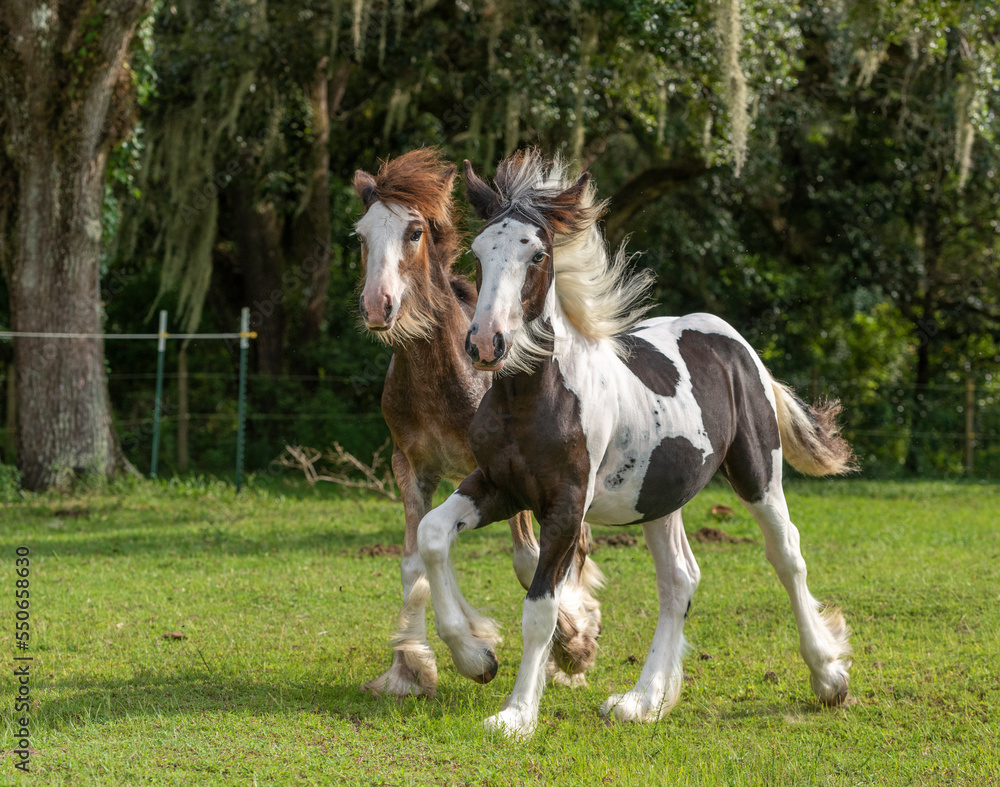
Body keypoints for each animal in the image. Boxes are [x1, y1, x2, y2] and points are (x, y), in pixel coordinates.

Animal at [352, 149, 602, 697]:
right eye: (360, 235)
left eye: (414, 232)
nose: (378, 305)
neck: (437, 378)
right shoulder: (411, 467)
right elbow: (413, 563)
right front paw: (414, 666)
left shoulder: (507, 474)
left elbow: (528, 559)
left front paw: (571, 644)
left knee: (575, 546)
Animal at [416, 149, 856, 738]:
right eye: (480, 252)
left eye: (536, 255)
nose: (487, 343)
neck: (533, 398)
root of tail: (738, 346)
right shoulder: (497, 485)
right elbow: (431, 534)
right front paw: (475, 657)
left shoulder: (565, 506)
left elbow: (540, 607)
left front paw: (515, 715)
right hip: (658, 499)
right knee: (679, 581)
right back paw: (641, 701)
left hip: (759, 474)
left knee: (787, 556)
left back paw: (829, 678)